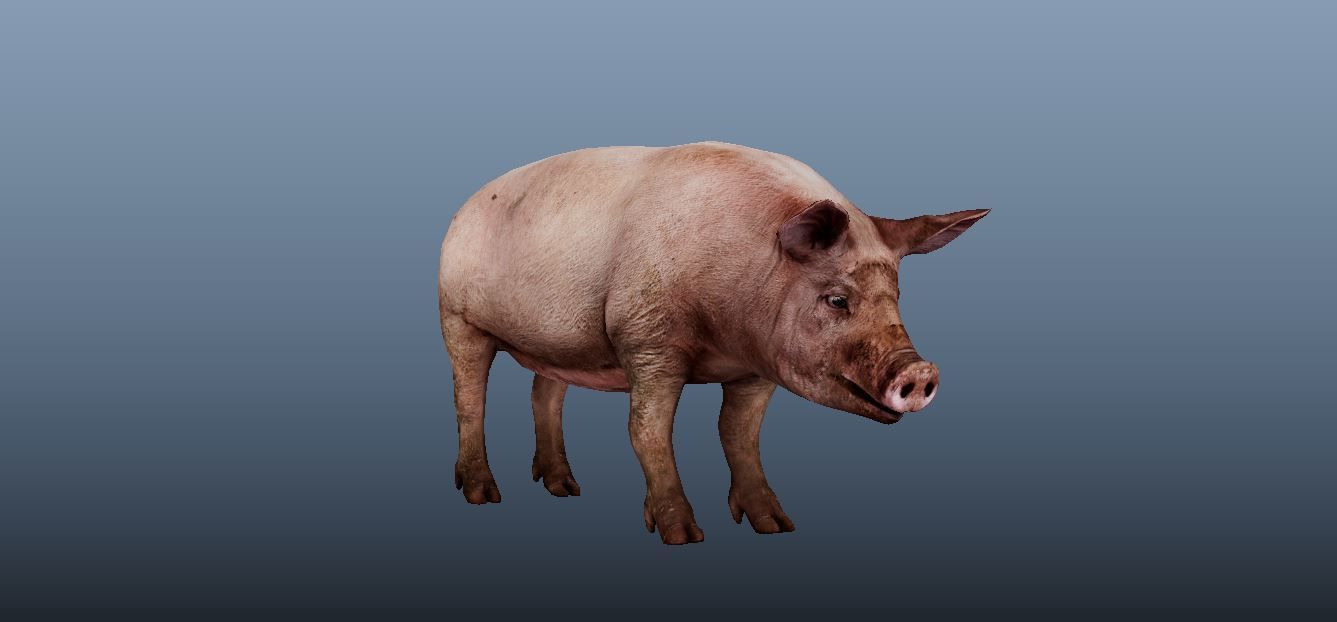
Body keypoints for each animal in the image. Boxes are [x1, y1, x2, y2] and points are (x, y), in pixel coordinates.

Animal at [438, 142, 987, 545]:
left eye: (897, 296)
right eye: (836, 300)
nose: (920, 371)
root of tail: (463, 208)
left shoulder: (757, 368)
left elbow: (738, 434)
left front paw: (776, 527)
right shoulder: (647, 337)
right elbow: (648, 430)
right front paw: (683, 537)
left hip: (560, 346)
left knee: (545, 393)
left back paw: (565, 490)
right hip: (456, 315)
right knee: (469, 397)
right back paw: (483, 495)